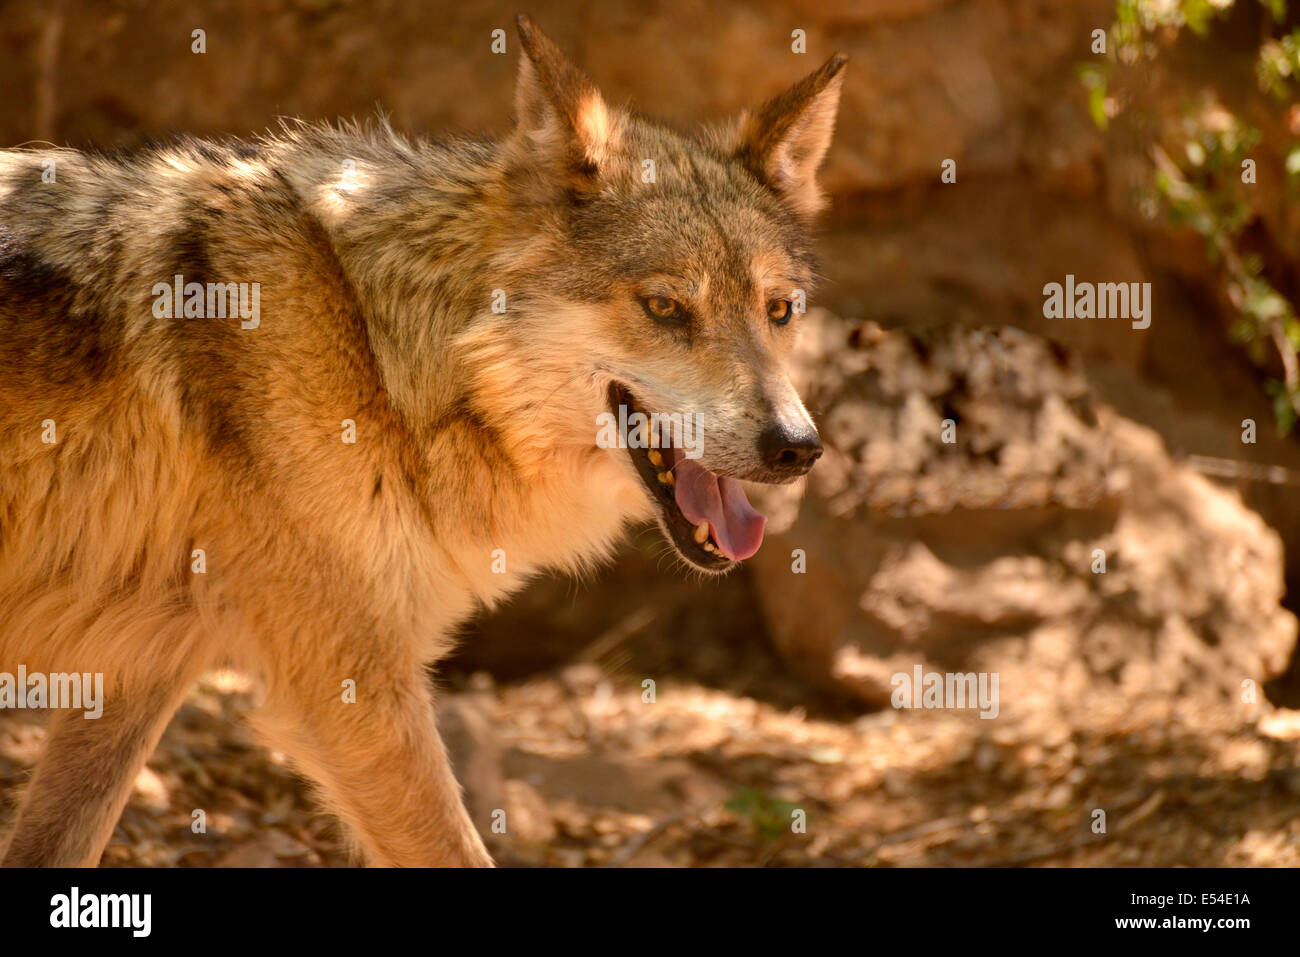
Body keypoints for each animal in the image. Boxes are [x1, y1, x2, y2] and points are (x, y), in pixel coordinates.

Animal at [0, 15, 843, 867]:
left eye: (777, 310)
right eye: (666, 307)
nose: (796, 447)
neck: (378, 352)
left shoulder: (138, 672)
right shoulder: (351, 690)